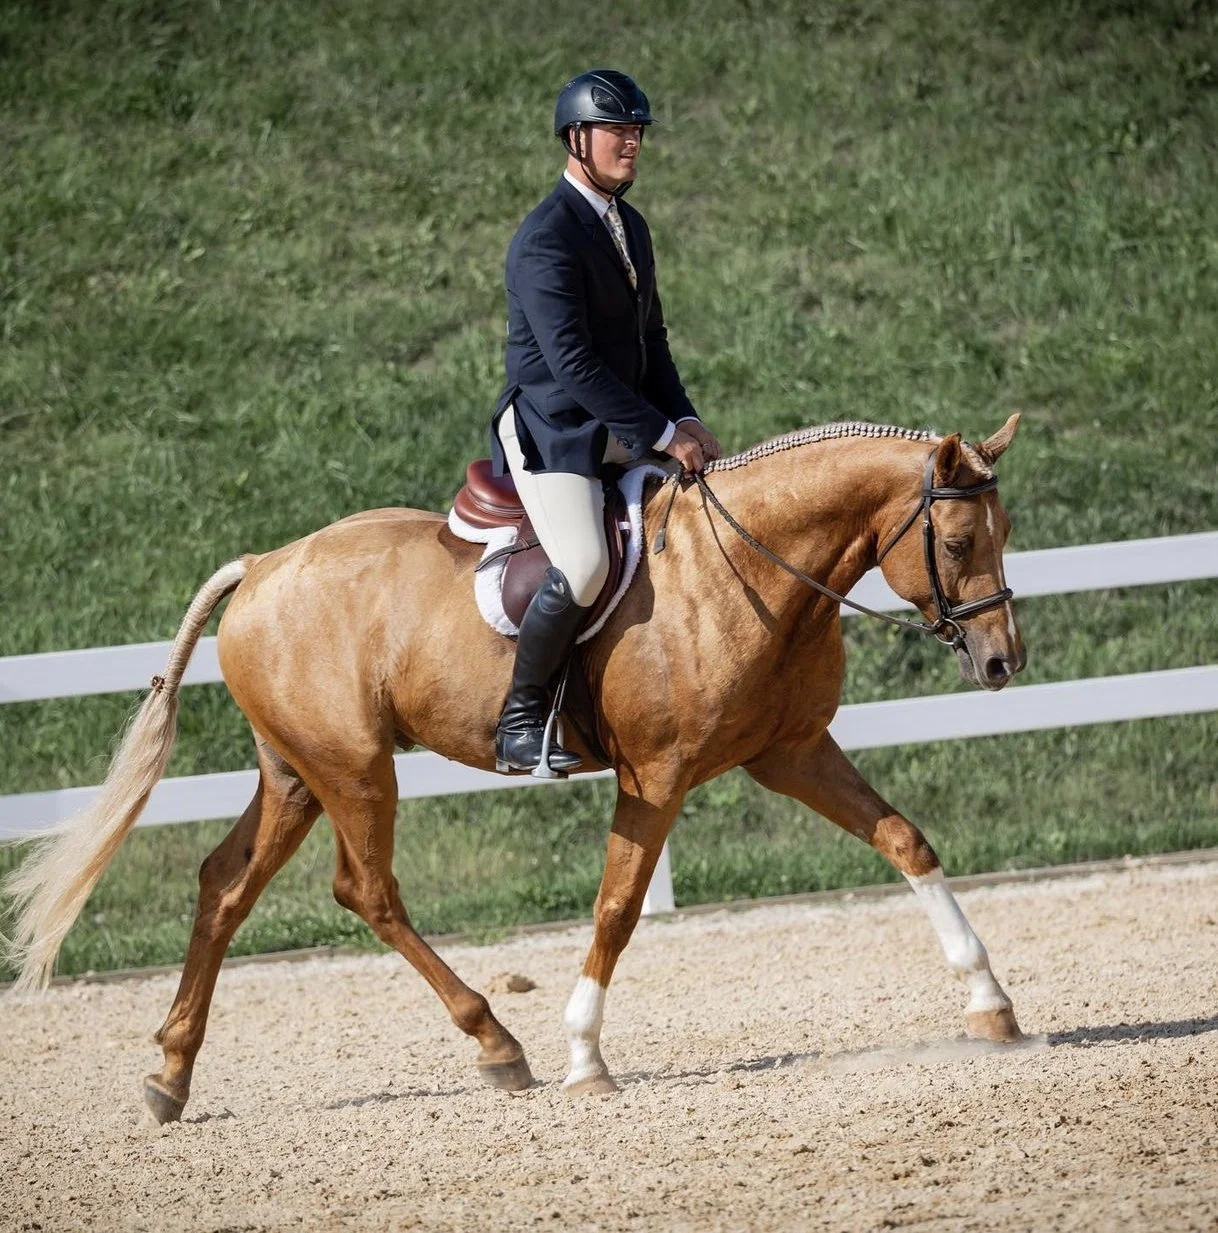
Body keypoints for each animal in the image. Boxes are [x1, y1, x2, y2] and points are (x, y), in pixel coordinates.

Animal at [4, 415, 1026, 1123]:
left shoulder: (793, 752)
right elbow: (616, 908)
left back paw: (169, 1074)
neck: (743, 567)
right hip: (355, 768)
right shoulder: (656, 777)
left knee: (223, 884)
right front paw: (584, 1057)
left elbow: (906, 839)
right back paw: (497, 1042)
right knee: (366, 888)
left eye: (1005, 532)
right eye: (959, 543)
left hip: (294, 772)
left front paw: (991, 1003)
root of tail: (262, 567)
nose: (1003, 662)